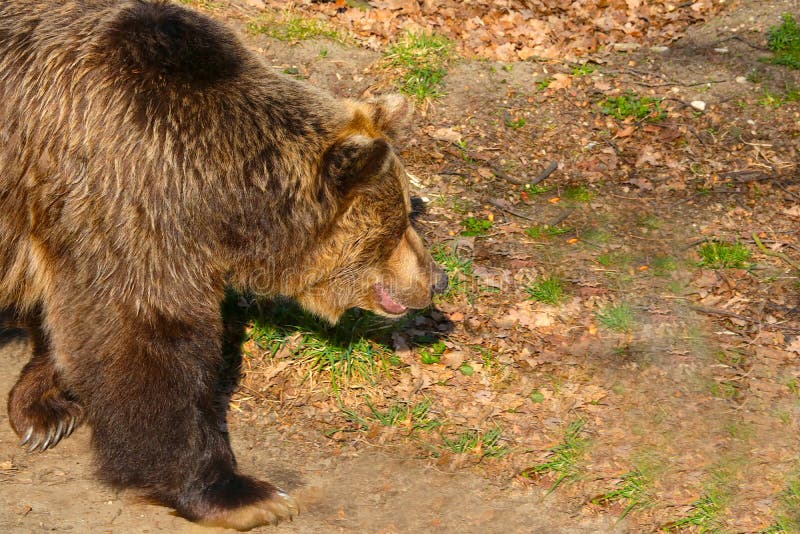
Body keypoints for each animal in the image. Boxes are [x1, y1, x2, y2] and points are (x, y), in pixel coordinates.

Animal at [0, 0, 447, 530]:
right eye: (396, 225)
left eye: (406, 214)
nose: (436, 279)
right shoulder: (126, 195)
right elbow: (145, 338)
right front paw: (241, 493)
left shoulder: (63, 216)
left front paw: (45, 406)